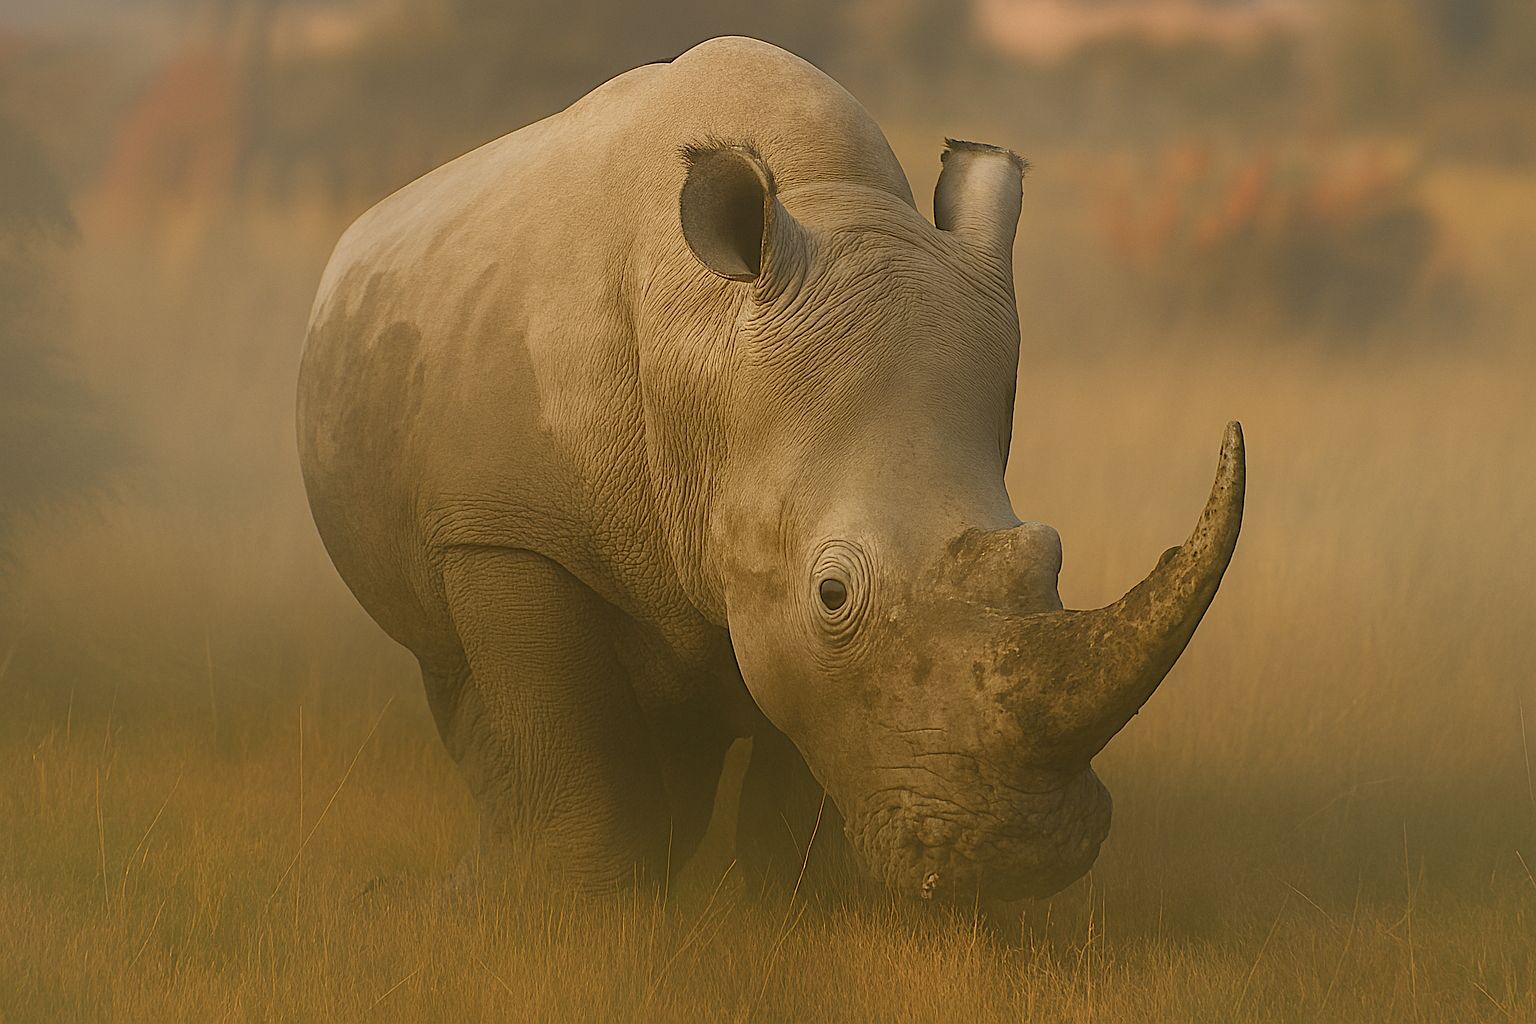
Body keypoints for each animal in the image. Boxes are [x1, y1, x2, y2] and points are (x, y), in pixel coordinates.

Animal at [297, 36, 1244, 901]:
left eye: (1050, 556)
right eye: (832, 593)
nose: (1020, 855)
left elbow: (801, 724)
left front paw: (804, 900)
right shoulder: (504, 529)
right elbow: (559, 718)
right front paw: (552, 902)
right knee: (454, 665)